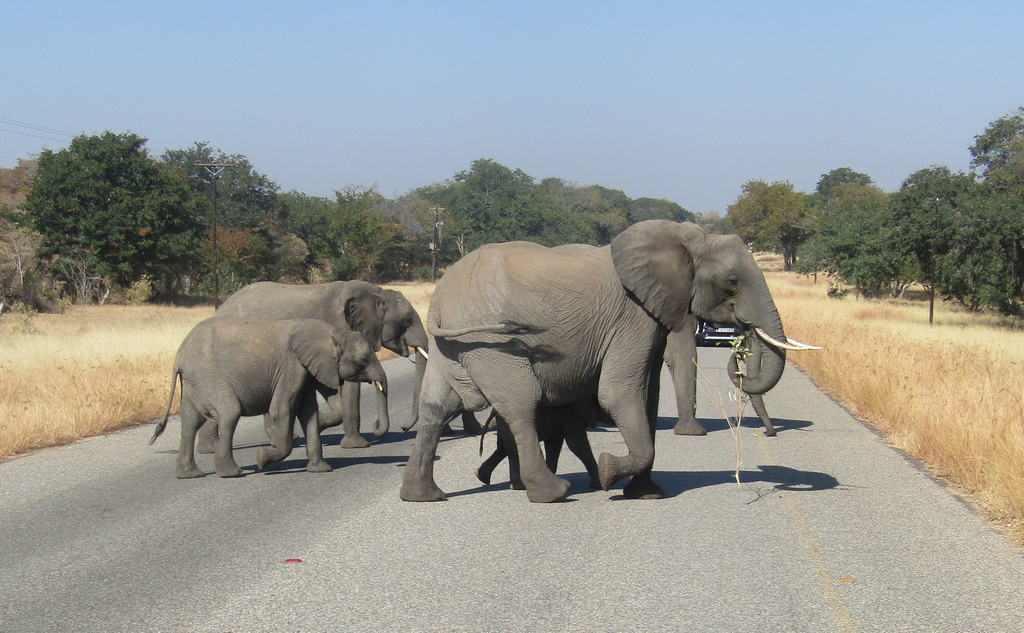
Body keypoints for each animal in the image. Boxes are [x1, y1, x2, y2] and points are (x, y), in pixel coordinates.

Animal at [149, 316, 389, 478]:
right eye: (363, 360)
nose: (376, 424)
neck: (334, 332)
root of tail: (179, 355)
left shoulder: (305, 370)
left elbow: (308, 412)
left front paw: (320, 470)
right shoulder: (291, 367)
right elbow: (281, 411)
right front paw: (262, 459)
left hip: (195, 382)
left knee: (190, 422)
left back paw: (189, 474)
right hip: (209, 377)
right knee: (229, 413)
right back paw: (232, 473)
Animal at [199, 280, 428, 451]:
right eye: (406, 321)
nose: (402, 428)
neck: (376, 293)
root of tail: (219, 309)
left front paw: (318, 424)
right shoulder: (341, 330)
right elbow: (349, 386)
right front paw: (357, 445)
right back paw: (213, 448)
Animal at [475, 399, 605, 491]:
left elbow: (554, 444)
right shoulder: (569, 414)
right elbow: (576, 443)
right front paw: (599, 484)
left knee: (503, 449)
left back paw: (481, 476)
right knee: (511, 448)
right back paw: (518, 486)